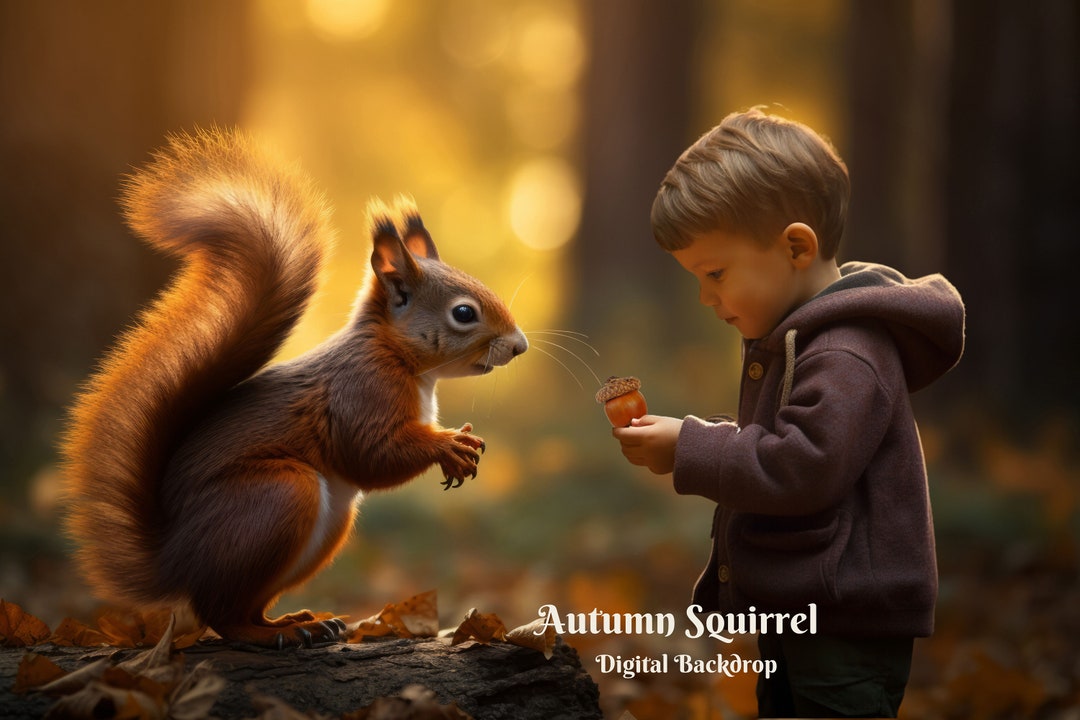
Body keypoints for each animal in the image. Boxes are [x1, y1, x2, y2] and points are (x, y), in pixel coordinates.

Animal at [60, 128, 528, 648]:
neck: (396, 356)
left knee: (242, 605)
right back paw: (267, 634)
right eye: (463, 313)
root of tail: (174, 559)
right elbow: (371, 454)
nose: (519, 346)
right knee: (221, 614)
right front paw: (450, 445)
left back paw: (297, 622)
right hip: (277, 498)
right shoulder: (359, 391)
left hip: (322, 529)